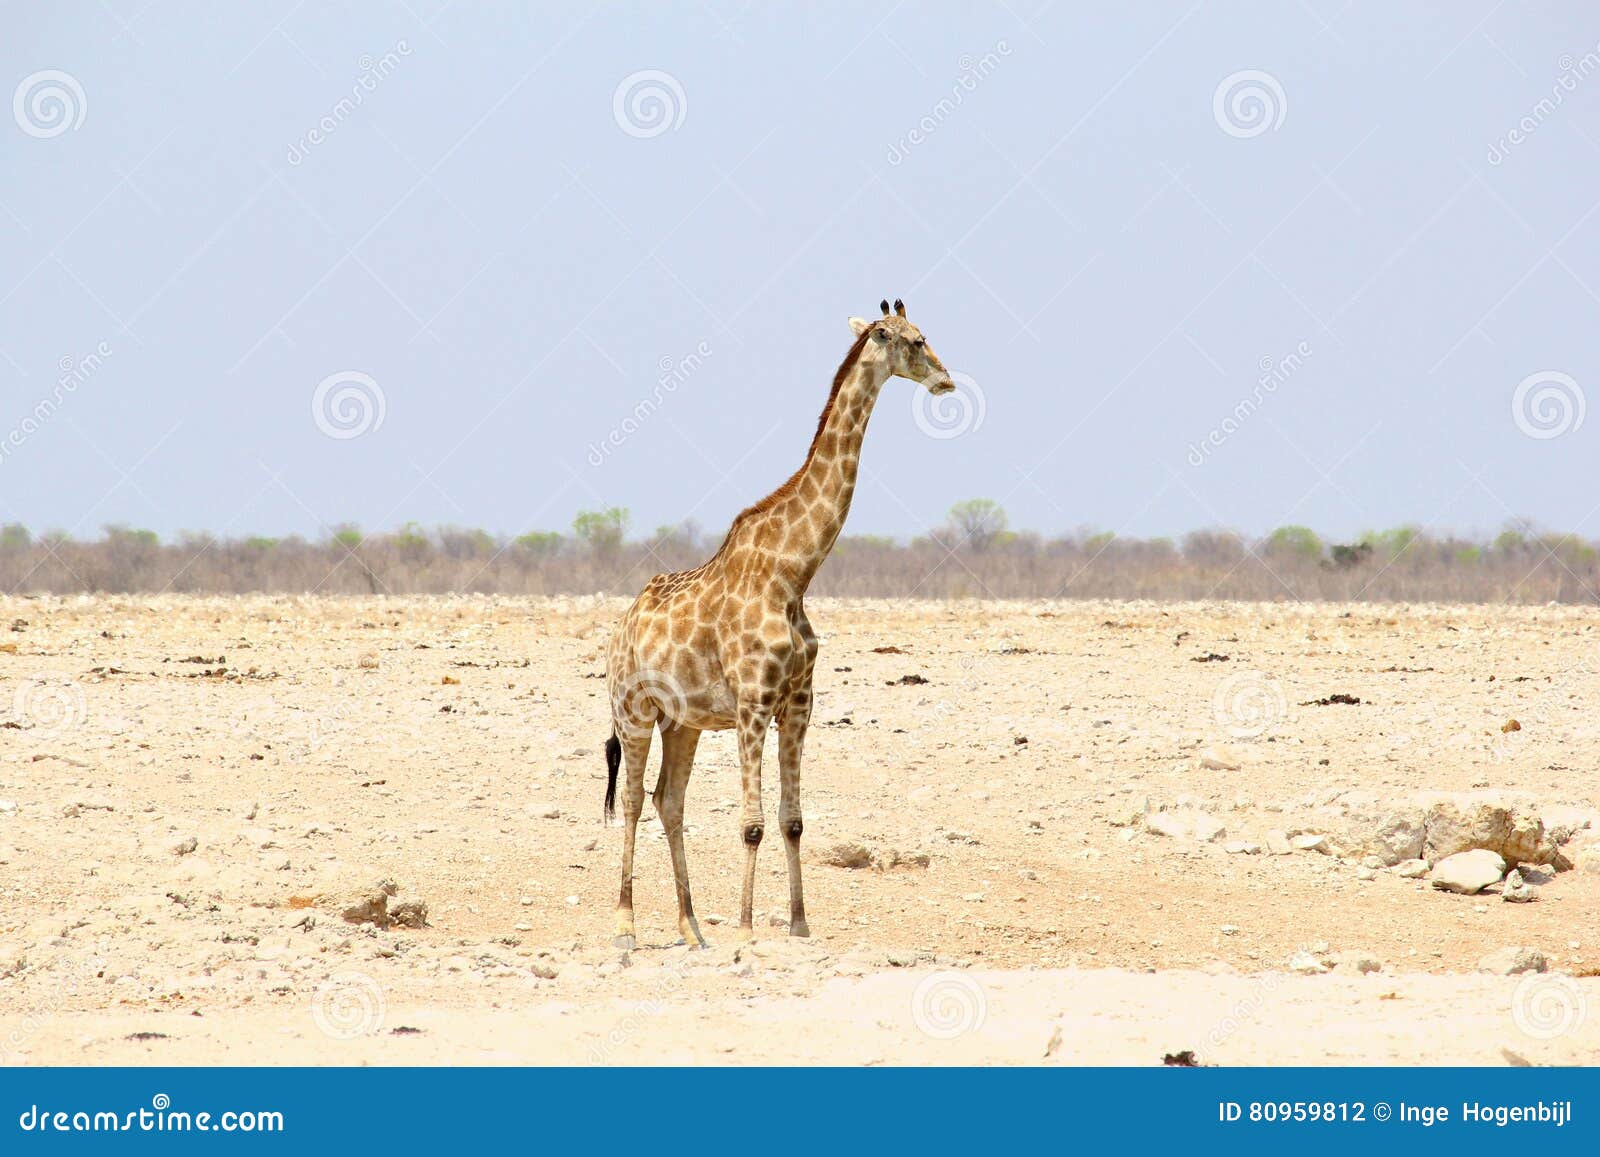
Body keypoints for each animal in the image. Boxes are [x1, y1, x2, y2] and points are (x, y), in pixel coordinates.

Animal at [602, 298, 955, 950]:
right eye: (914, 341)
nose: (947, 381)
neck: (795, 573)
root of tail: (619, 631)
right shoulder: (752, 699)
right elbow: (752, 824)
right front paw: (745, 931)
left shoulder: (798, 702)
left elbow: (792, 821)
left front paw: (798, 925)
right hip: (633, 711)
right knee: (634, 800)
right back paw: (627, 927)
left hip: (681, 722)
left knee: (669, 800)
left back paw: (692, 928)